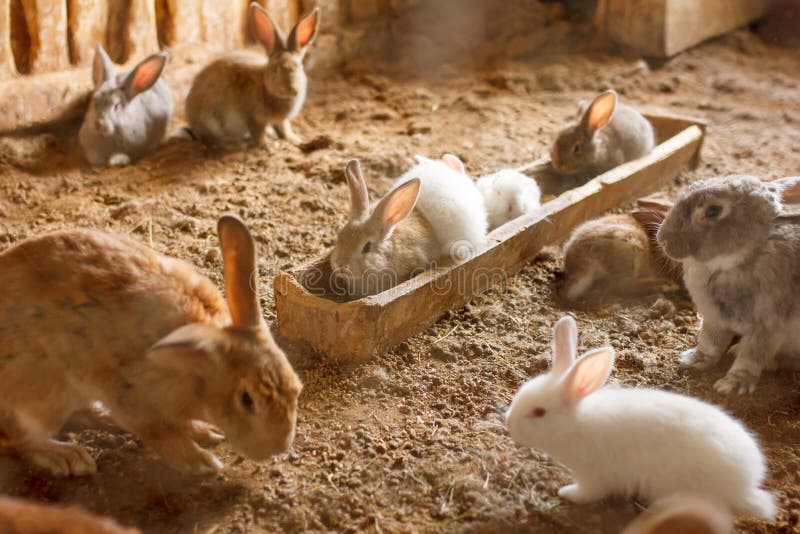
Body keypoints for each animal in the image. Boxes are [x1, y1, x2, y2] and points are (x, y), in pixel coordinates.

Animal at [0, 214, 301, 477]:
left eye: (296, 387)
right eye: (247, 400)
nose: (279, 447)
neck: (196, 366)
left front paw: (205, 432)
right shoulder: (128, 395)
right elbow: (160, 432)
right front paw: (201, 462)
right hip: (42, 400)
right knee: (19, 440)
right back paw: (68, 457)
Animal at [184, 3, 320, 149]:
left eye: (299, 67)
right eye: (275, 69)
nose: (291, 89)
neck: (266, 88)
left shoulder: (281, 121)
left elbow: (283, 129)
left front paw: (295, 140)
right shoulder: (254, 118)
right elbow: (258, 133)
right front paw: (267, 145)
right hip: (212, 120)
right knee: (210, 139)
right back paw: (234, 144)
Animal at [504, 316, 776, 520]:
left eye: (539, 412)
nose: (508, 424)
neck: (576, 424)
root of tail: (748, 484)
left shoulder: (593, 476)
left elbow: (587, 493)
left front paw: (566, 493)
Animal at [657, 174, 800, 394]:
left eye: (712, 211)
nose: (662, 240)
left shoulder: (768, 325)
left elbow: (751, 357)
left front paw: (731, 386)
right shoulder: (714, 318)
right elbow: (710, 343)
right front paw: (692, 360)